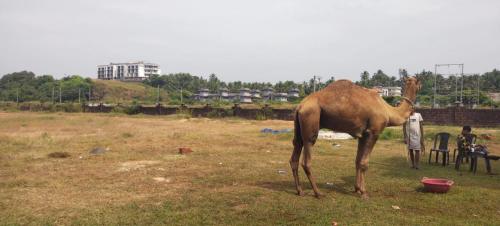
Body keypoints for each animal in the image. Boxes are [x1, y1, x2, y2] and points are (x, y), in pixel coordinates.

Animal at [292, 77, 420, 199]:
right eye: (419, 82)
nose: (420, 85)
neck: (388, 111)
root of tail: (300, 106)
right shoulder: (373, 132)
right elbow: (364, 163)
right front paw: (364, 192)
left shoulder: (362, 135)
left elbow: (358, 161)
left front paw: (357, 189)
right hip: (311, 118)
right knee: (307, 156)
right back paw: (318, 193)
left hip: (299, 125)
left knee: (296, 151)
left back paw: (300, 191)